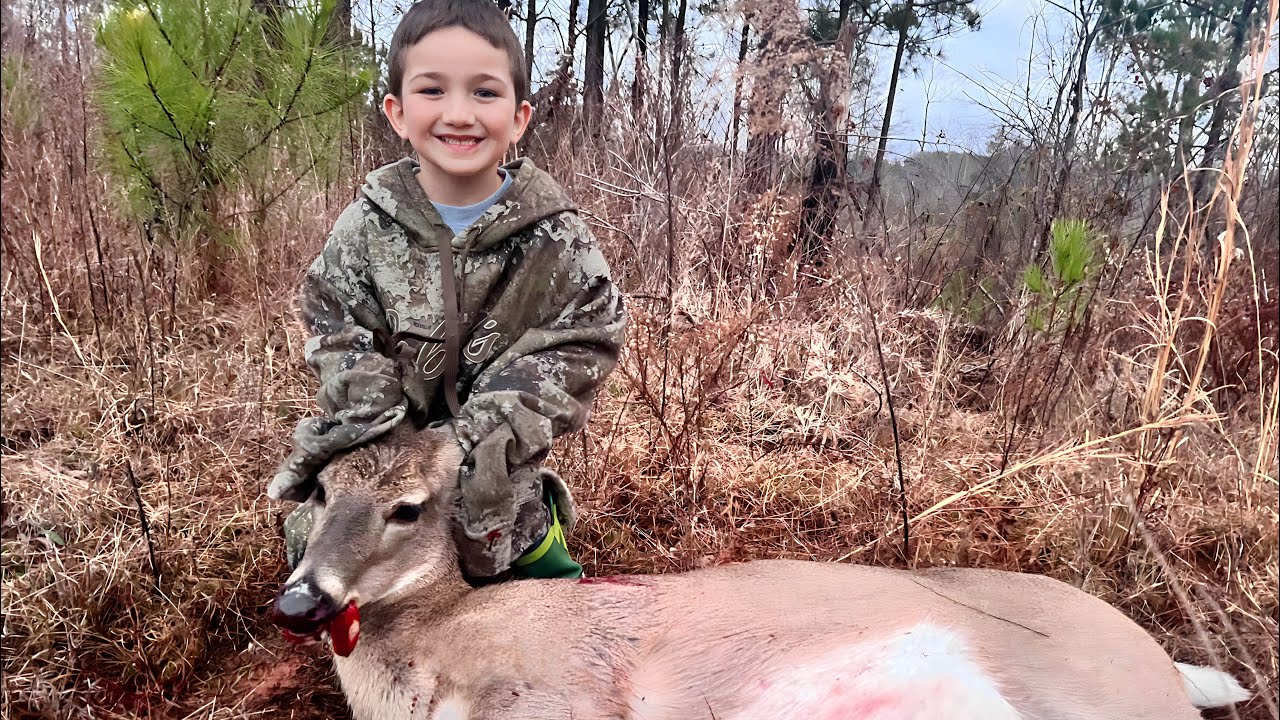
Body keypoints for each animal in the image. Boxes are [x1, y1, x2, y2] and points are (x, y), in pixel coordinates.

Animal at [270, 425, 1251, 720]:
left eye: (408, 507)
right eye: (318, 490)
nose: (297, 599)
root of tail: (1168, 664)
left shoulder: (562, 690)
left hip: (1093, 695)